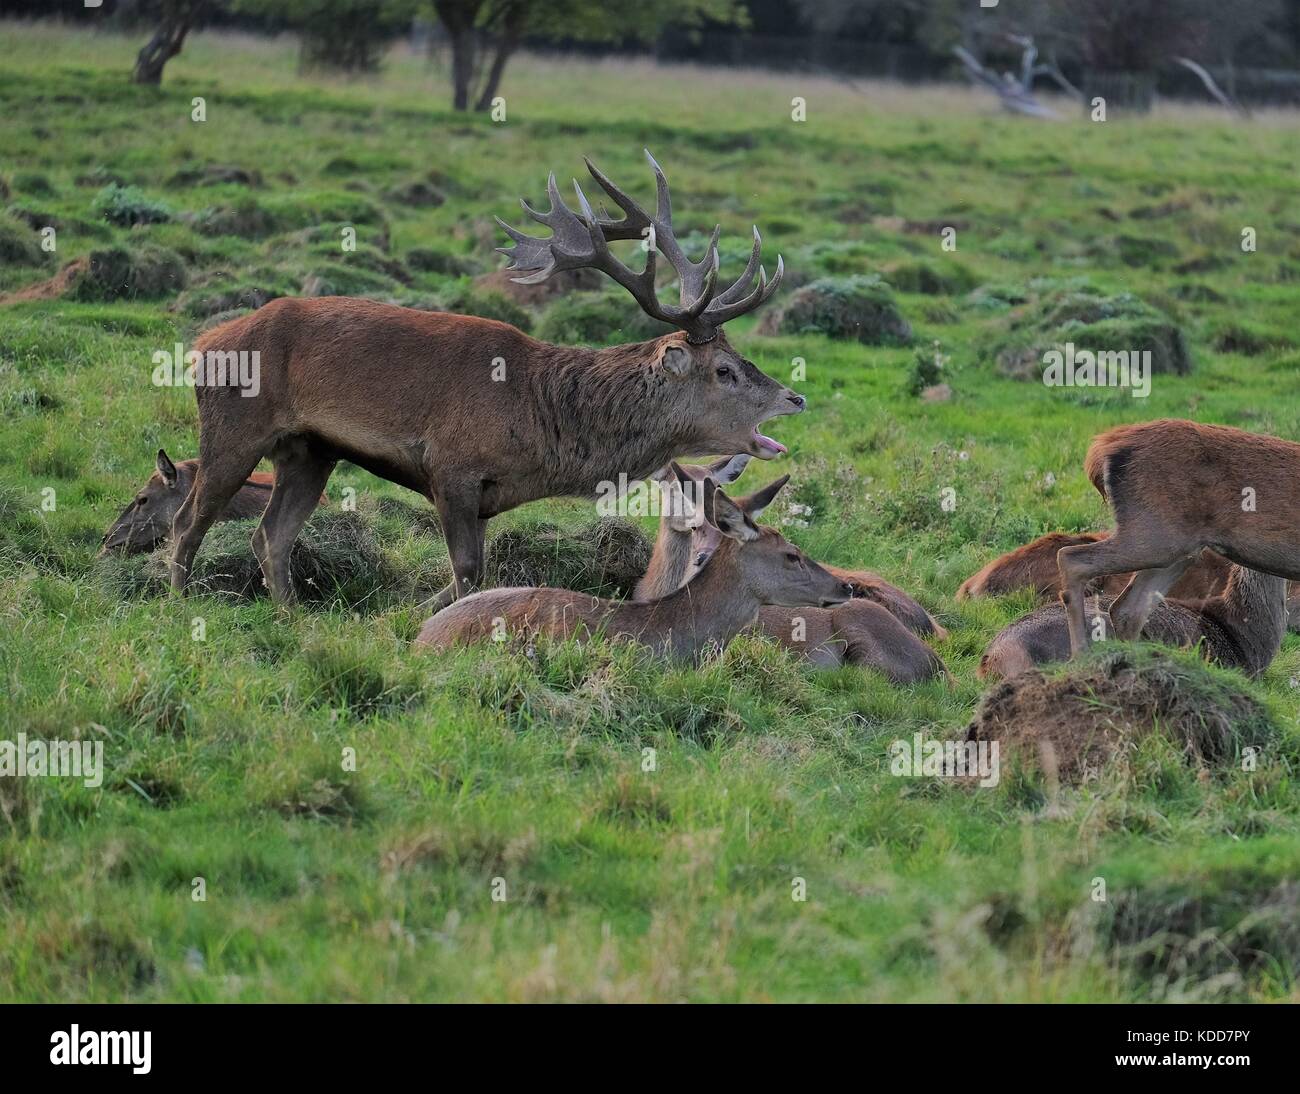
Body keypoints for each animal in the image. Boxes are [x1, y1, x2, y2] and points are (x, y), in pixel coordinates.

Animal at [170, 151, 801, 611]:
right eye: (724, 370)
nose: (794, 396)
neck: (541, 425)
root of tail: (202, 346)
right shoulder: (452, 466)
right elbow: (468, 571)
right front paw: (410, 615)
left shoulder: (484, 496)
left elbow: (477, 573)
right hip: (233, 427)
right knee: (188, 519)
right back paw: (178, 604)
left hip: (310, 450)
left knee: (269, 534)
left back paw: (290, 613)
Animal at [1059, 418, 1300, 659]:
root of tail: (1100, 449)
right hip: (1157, 535)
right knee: (1070, 558)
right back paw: (1080, 654)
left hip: (1177, 548)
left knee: (1127, 609)